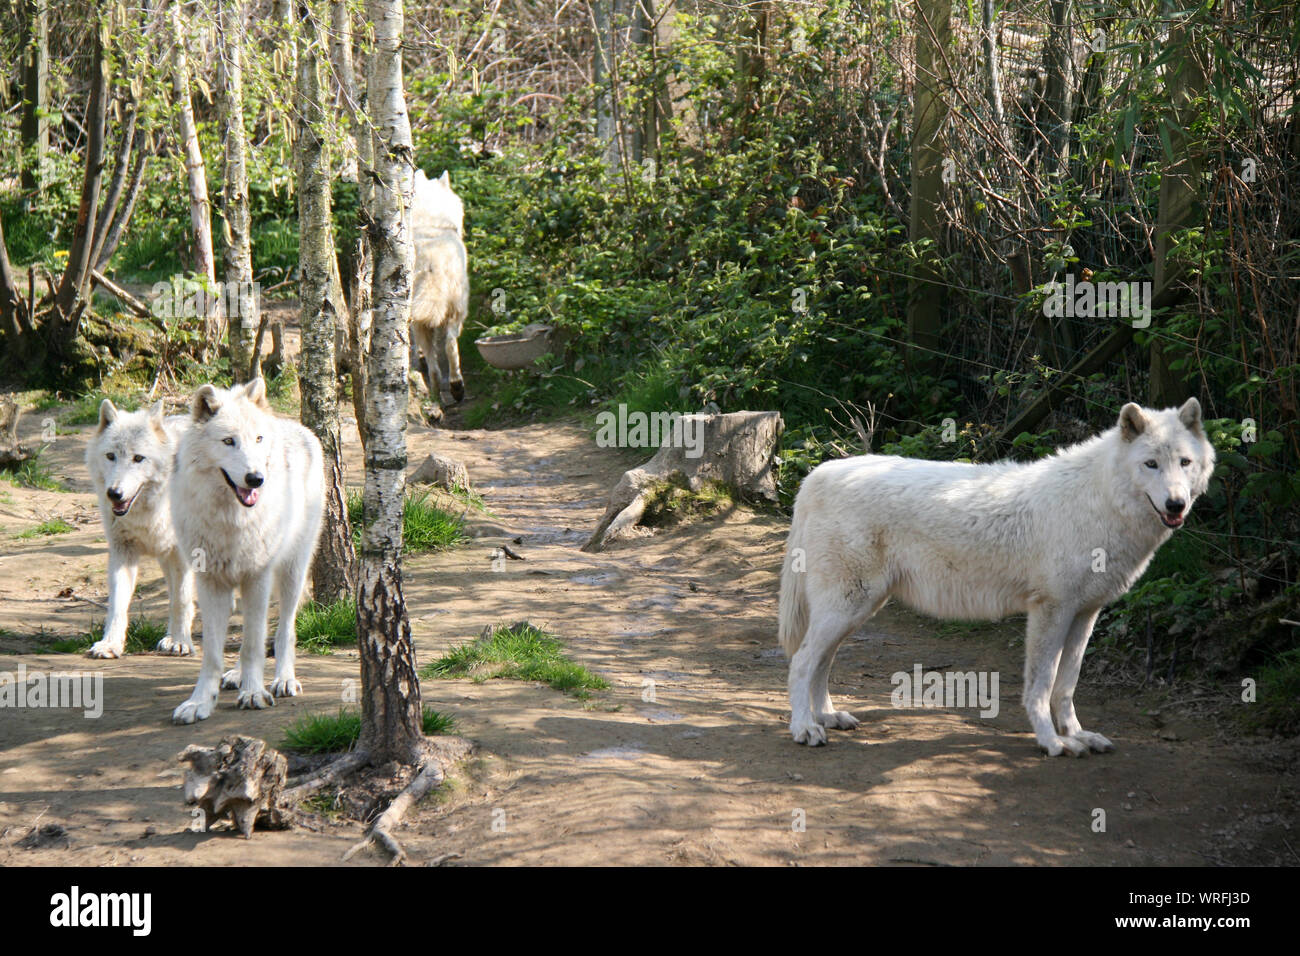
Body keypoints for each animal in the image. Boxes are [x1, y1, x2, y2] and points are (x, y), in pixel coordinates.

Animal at [85, 400, 195, 659]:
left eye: (138, 458)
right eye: (110, 456)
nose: (114, 493)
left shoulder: (182, 554)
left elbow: (182, 599)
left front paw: (181, 642)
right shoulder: (122, 552)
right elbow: (117, 604)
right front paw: (110, 645)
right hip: (166, 558)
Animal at [170, 378, 324, 724]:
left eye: (258, 439)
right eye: (229, 441)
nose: (256, 479)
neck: (232, 520)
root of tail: (296, 426)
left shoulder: (258, 576)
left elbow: (254, 643)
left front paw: (254, 692)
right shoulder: (211, 581)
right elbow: (215, 653)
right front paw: (201, 702)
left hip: (292, 570)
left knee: (284, 629)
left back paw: (283, 680)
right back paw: (237, 675)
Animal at [779, 398, 1215, 756]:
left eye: (1184, 463)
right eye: (1151, 464)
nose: (1176, 504)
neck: (1100, 502)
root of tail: (819, 473)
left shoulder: (1085, 614)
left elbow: (1066, 686)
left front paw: (1077, 734)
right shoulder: (1051, 610)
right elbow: (1042, 685)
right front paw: (1052, 742)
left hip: (855, 611)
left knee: (821, 662)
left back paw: (827, 717)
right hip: (848, 607)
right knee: (801, 661)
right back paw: (805, 729)